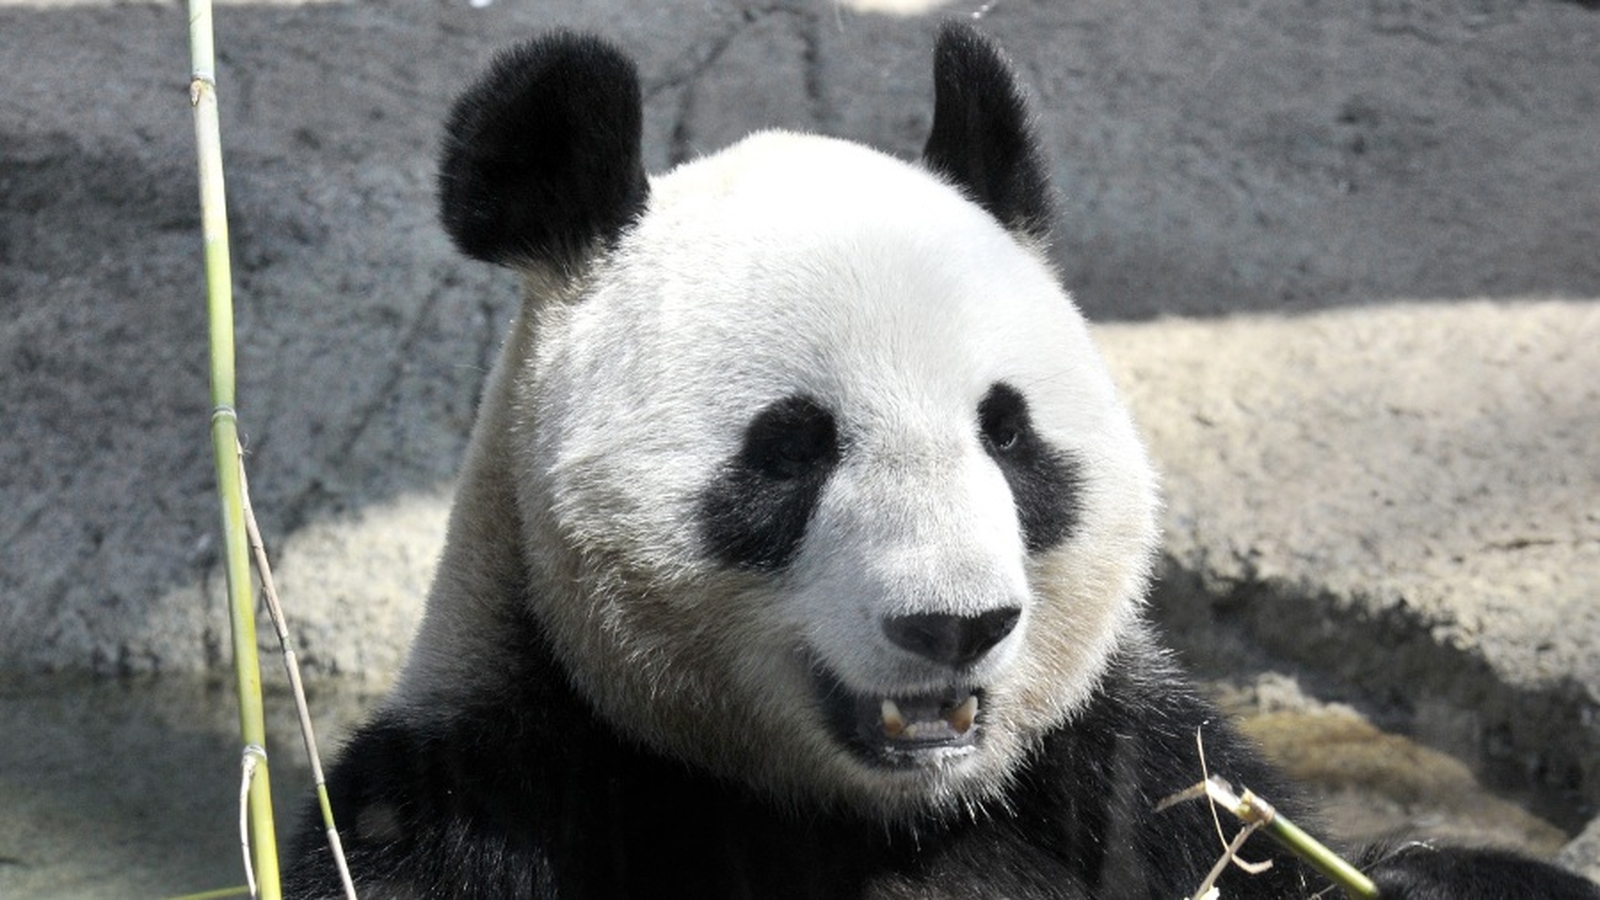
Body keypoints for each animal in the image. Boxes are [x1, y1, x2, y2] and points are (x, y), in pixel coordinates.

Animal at [285, 24, 1600, 900]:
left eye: (1006, 434)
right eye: (790, 449)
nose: (952, 625)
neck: (880, 814)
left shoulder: (1120, 775)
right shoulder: (483, 798)